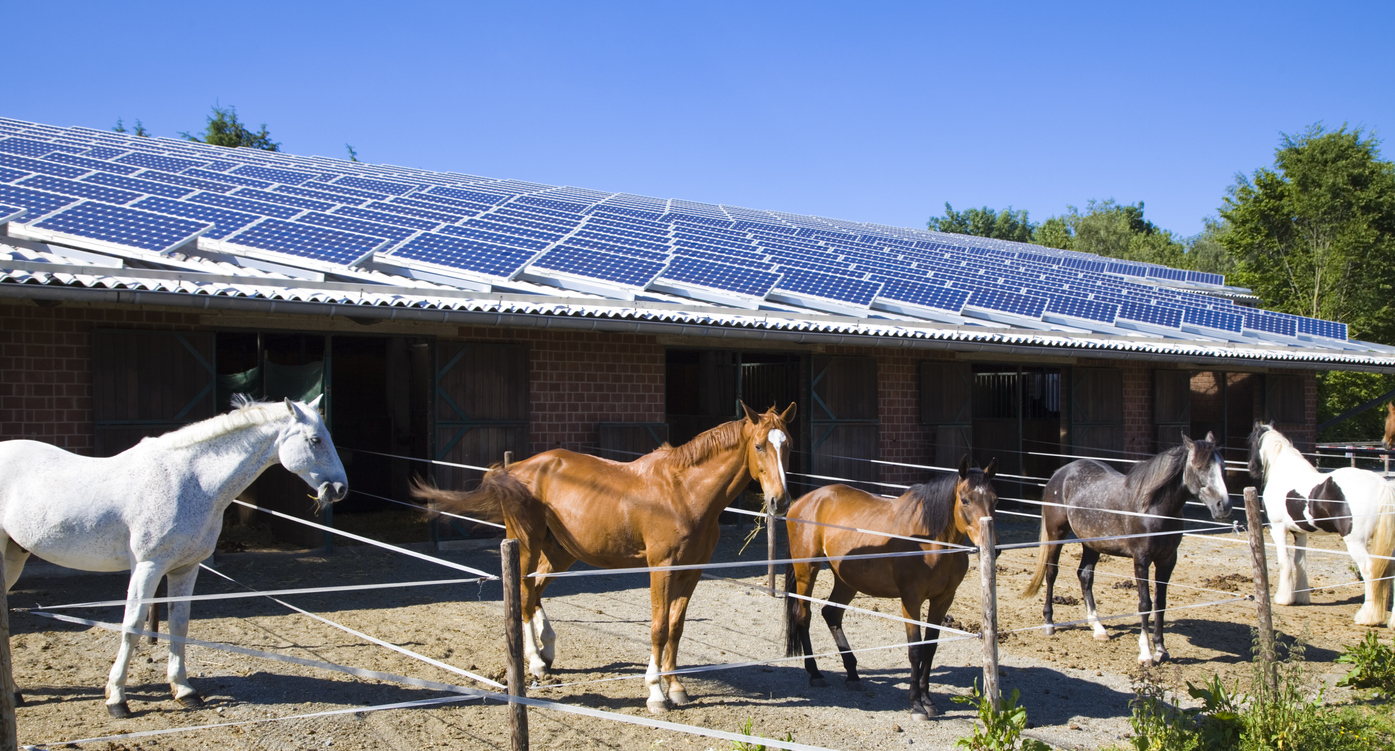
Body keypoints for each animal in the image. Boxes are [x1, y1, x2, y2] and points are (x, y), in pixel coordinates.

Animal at [0, 390, 347, 711]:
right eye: (315, 440)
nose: (339, 489)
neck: (189, 480)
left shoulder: (185, 567)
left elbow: (180, 623)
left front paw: (183, 690)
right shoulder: (148, 566)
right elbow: (132, 625)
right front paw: (117, 698)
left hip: (14, 556)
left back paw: (15, 694)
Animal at [410, 399, 797, 709]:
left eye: (787, 446)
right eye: (759, 445)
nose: (780, 502)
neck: (684, 492)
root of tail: (516, 469)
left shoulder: (692, 570)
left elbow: (676, 626)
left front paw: (676, 687)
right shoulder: (662, 568)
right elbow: (659, 628)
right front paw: (656, 693)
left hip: (561, 551)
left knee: (533, 591)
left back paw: (547, 651)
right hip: (525, 543)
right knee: (521, 592)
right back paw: (534, 661)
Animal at [781, 455, 998, 720]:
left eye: (995, 500)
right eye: (965, 500)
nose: (993, 548)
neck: (930, 542)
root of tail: (803, 501)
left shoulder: (943, 599)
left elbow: (930, 648)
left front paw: (928, 700)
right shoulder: (911, 600)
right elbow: (915, 649)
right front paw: (916, 704)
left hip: (846, 580)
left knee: (831, 614)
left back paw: (852, 674)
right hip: (806, 571)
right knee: (803, 616)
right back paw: (815, 672)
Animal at [1021, 429, 1227, 664]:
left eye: (1223, 466)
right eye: (1200, 467)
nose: (1224, 505)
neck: (1153, 508)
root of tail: (1059, 474)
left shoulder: (1167, 560)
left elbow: (1161, 603)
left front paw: (1161, 649)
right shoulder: (1141, 560)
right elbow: (1145, 604)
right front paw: (1145, 653)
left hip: (1092, 543)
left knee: (1085, 575)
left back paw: (1098, 628)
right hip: (1057, 534)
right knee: (1051, 573)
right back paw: (1049, 623)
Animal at [1249, 421, 1395, 625]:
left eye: (1252, 442)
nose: (1251, 467)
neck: (1285, 472)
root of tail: (1382, 485)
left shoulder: (1277, 529)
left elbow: (1285, 562)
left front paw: (1283, 598)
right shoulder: (1300, 532)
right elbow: (1300, 562)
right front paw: (1301, 597)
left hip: (1355, 542)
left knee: (1369, 571)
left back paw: (1366, 617)